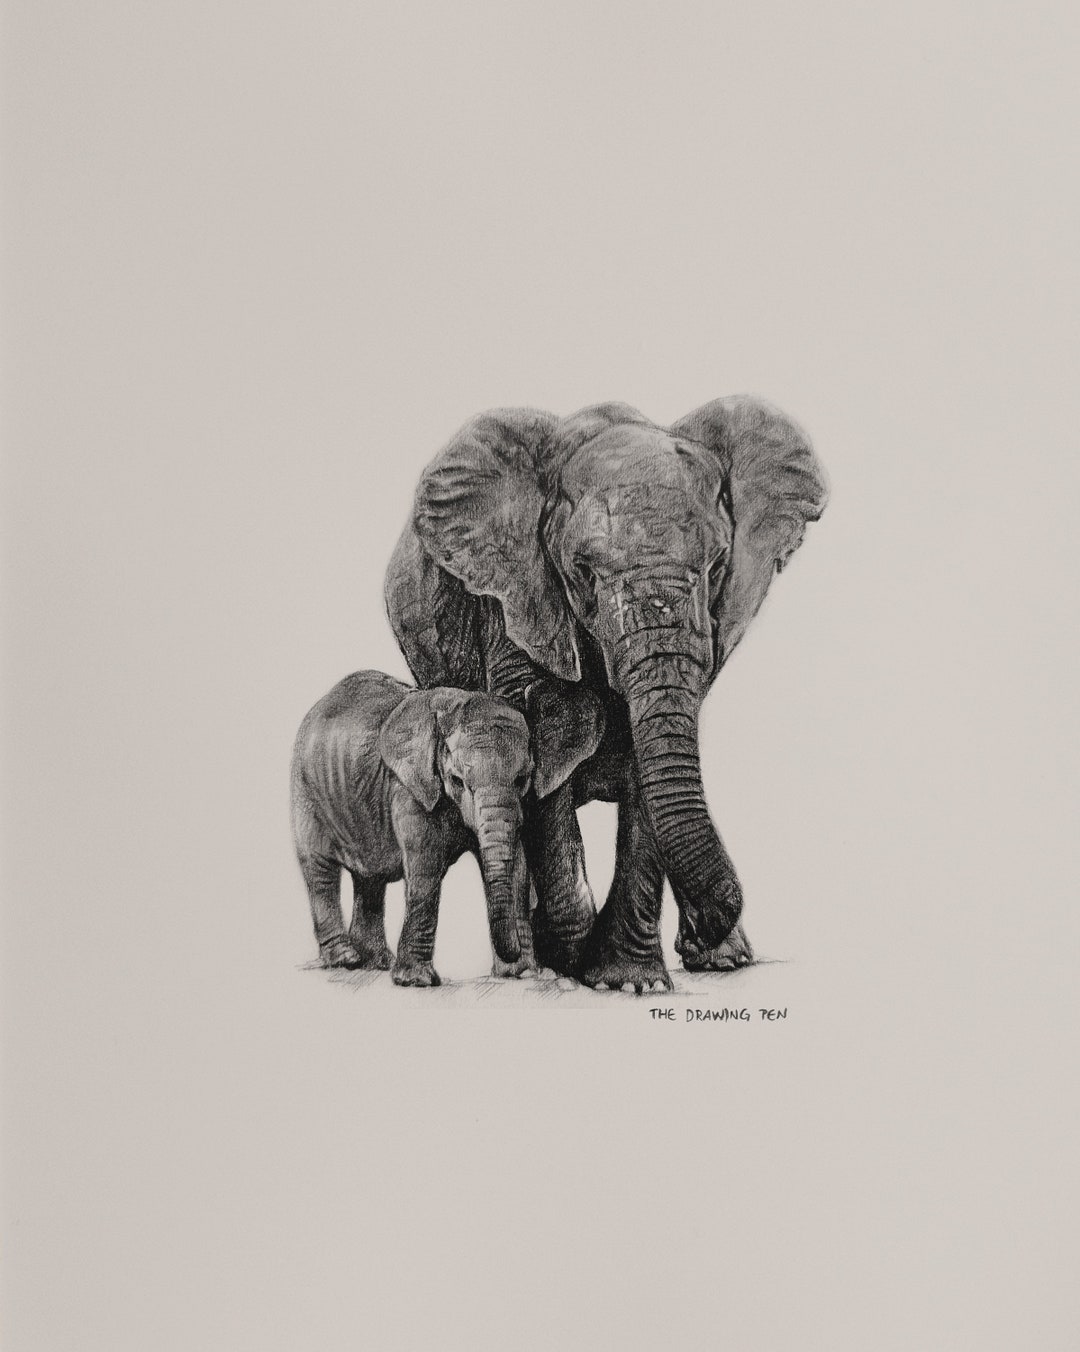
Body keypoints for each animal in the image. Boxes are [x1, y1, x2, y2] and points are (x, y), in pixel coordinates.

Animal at [291, 669, 603, 985]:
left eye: (522, 779)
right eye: (456, 780)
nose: (517, 954)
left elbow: (517, 868)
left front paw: (521, 974)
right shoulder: (411, 789)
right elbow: (426, 868)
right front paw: (416, 981)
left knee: (370, 879)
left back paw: (376, 963)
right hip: (307, 790)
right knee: (320, 870)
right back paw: (346, 960)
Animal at [384, 395, 828, 992]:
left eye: (717, 566)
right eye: (583, 571)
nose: (715, 915)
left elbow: (650, 759)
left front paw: (629, 981)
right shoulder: (514, 592)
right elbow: (538, 743)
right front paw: (570, 956)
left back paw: (723, 958)